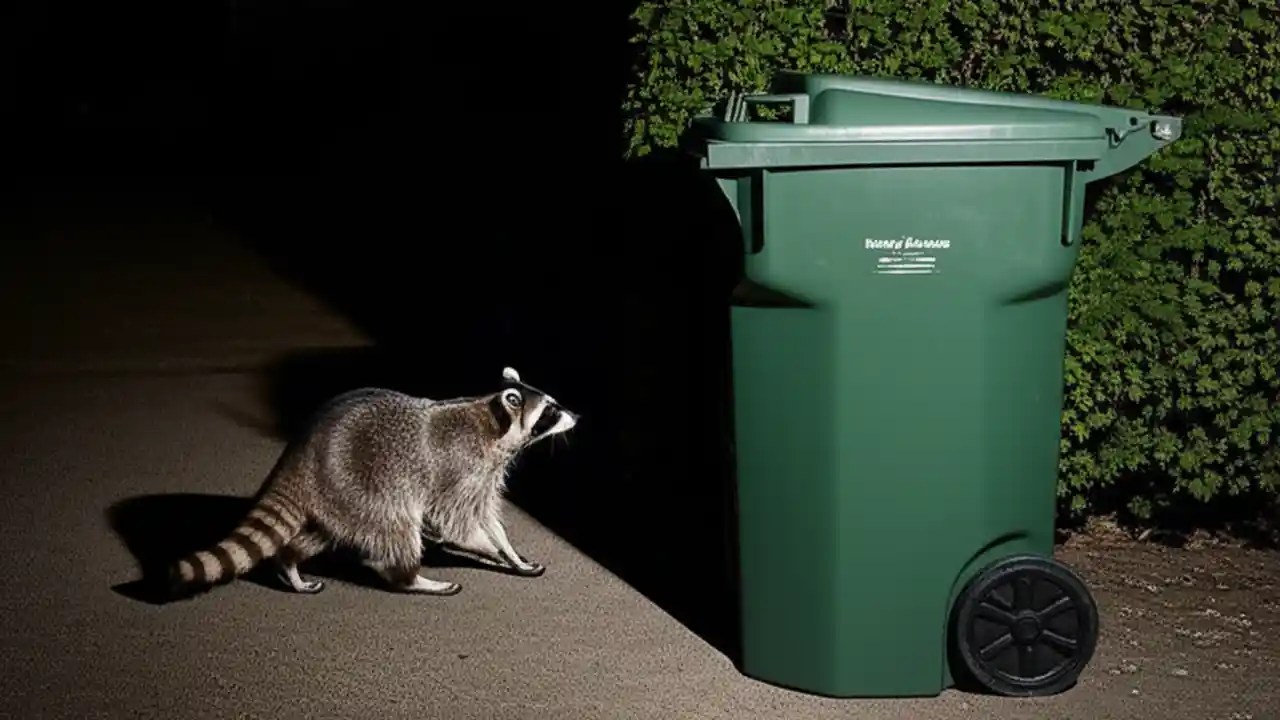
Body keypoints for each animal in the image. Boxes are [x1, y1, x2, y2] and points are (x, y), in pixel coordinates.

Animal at [165, 366, 578, 599]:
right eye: (550, 412)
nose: (575, 416)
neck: (495, 424)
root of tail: (302, 451)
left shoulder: (486, 476)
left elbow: (487, 516)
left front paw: (510, 552)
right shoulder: (460, 467)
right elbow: (454, 521)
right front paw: (489, 549)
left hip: (337, 500)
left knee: (321, 533)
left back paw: (290, 562)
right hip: (363, 485)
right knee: (398, 530)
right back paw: (412, 579)